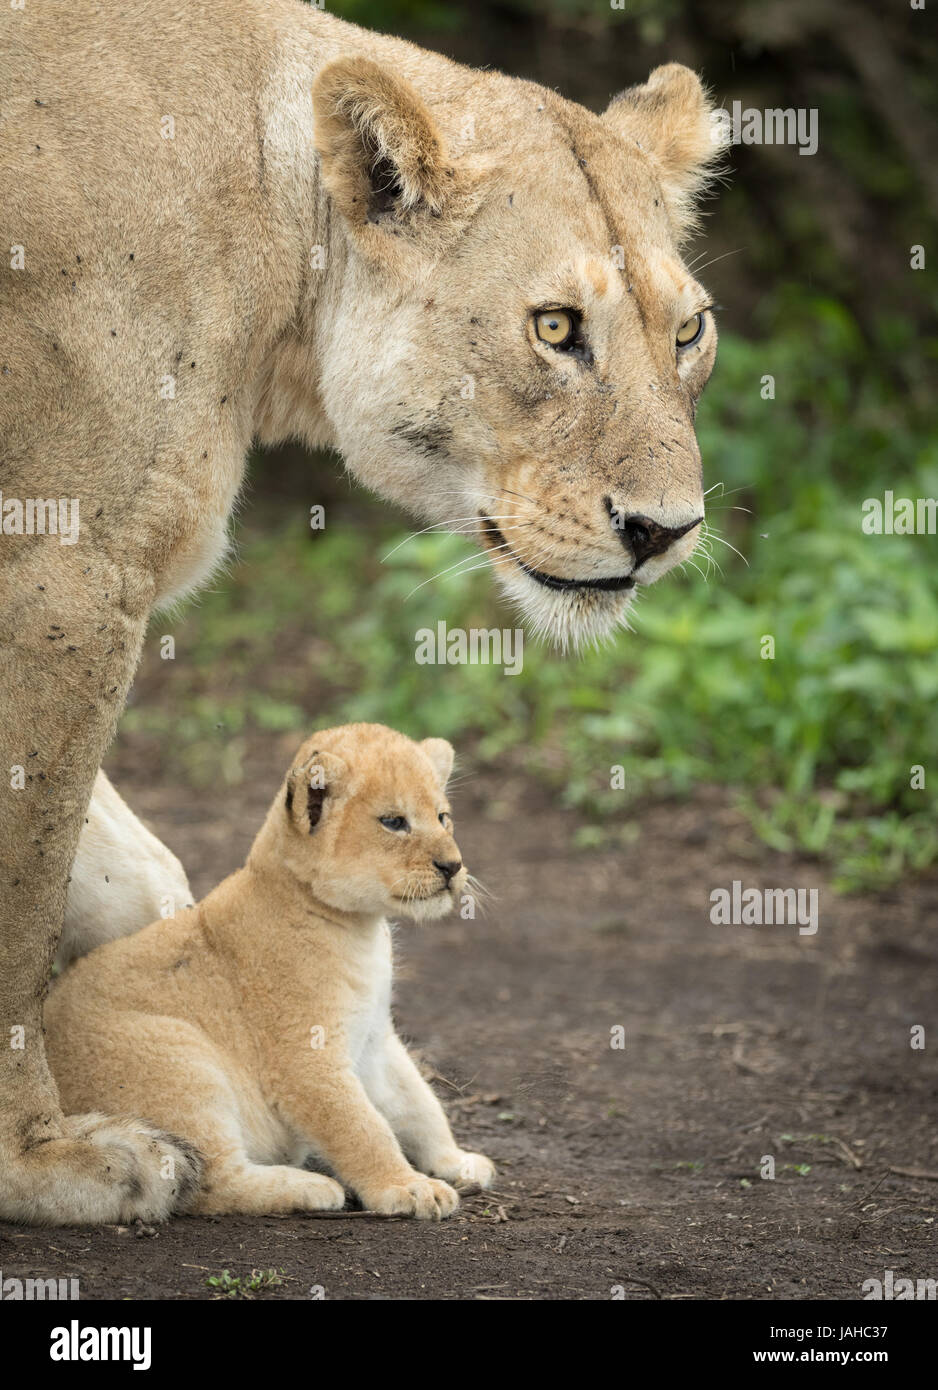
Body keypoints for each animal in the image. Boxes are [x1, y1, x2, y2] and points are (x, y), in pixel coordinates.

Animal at [44, 725, 494, 1221]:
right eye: (394, 822)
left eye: (443, 817)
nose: (453, 866)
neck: (361, 929)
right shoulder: (306, 1057)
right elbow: (362, 1128)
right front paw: (409, 1187)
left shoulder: (377, 1040)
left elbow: (418, 1103)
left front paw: (457, 1161)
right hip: (176, 1057)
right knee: (205, 1181)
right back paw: (311, 1187)